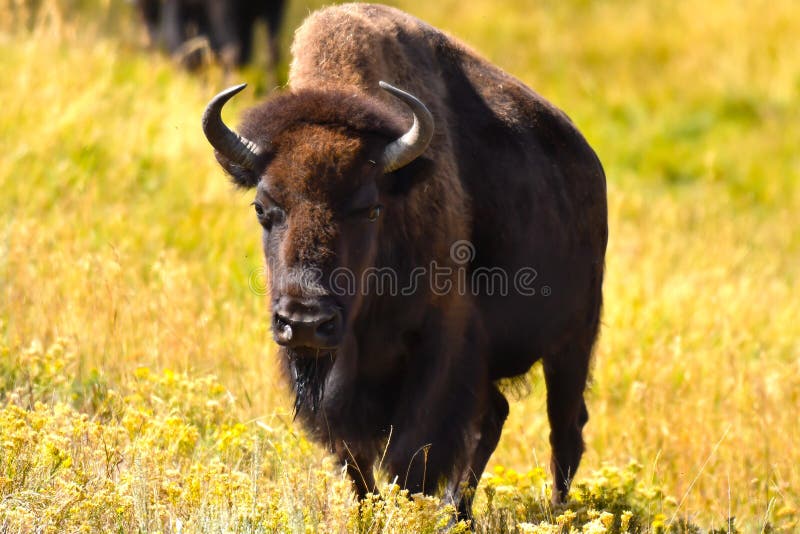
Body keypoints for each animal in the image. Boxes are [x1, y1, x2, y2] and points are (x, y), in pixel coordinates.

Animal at [201, 3, 607, 518]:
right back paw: (459, 514)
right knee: (497, 416)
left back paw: (555, 513)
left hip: (572, 344)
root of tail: (588, 163)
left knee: (565, 430)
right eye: (261, 207)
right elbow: (357, 458)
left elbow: (410, 457)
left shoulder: (438, 348)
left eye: (371, 208)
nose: (307, 321)